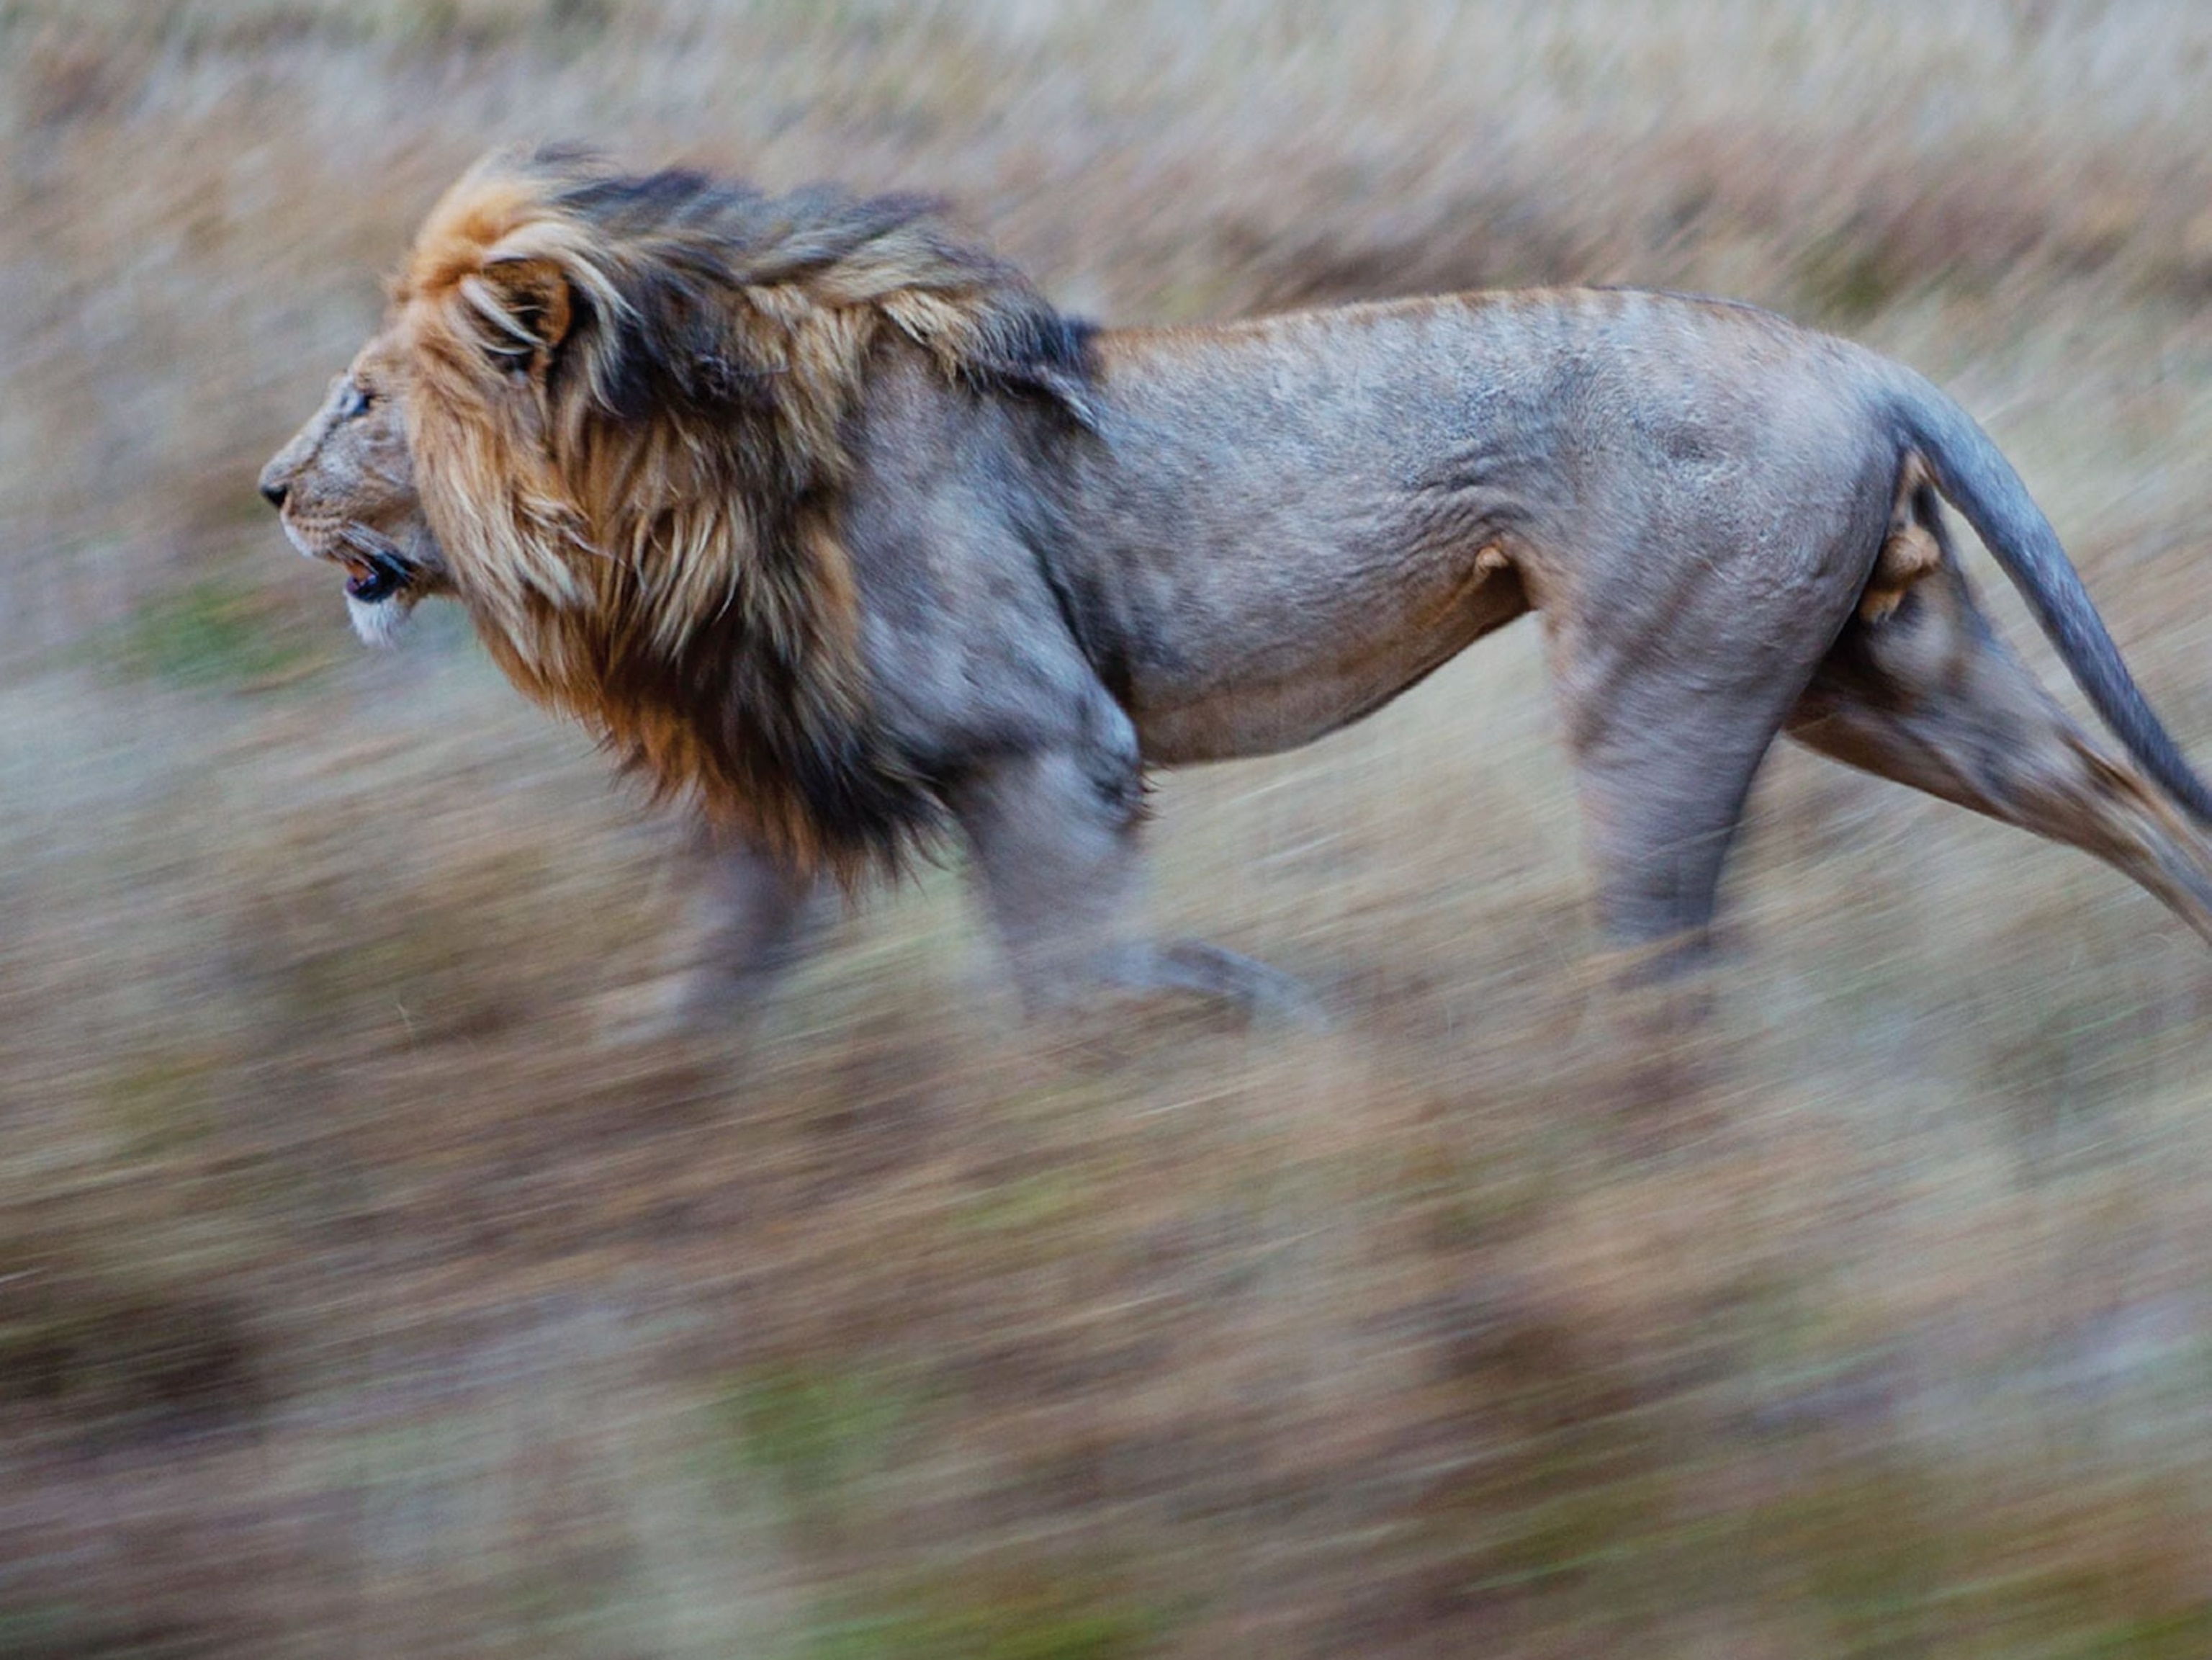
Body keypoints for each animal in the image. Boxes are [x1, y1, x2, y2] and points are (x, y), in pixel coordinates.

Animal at [261, 148, 2212, 1020]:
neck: (663, 492)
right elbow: (698, 1004)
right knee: (2127, 802)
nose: (270, 490)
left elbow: (1079, 987)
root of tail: (1855, 357)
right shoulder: (781, 779)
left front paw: (1250, 1036)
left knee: (1668, 956)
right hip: (1875, 677)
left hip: (1664, 694)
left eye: (360, 400)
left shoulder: (1044, 744)